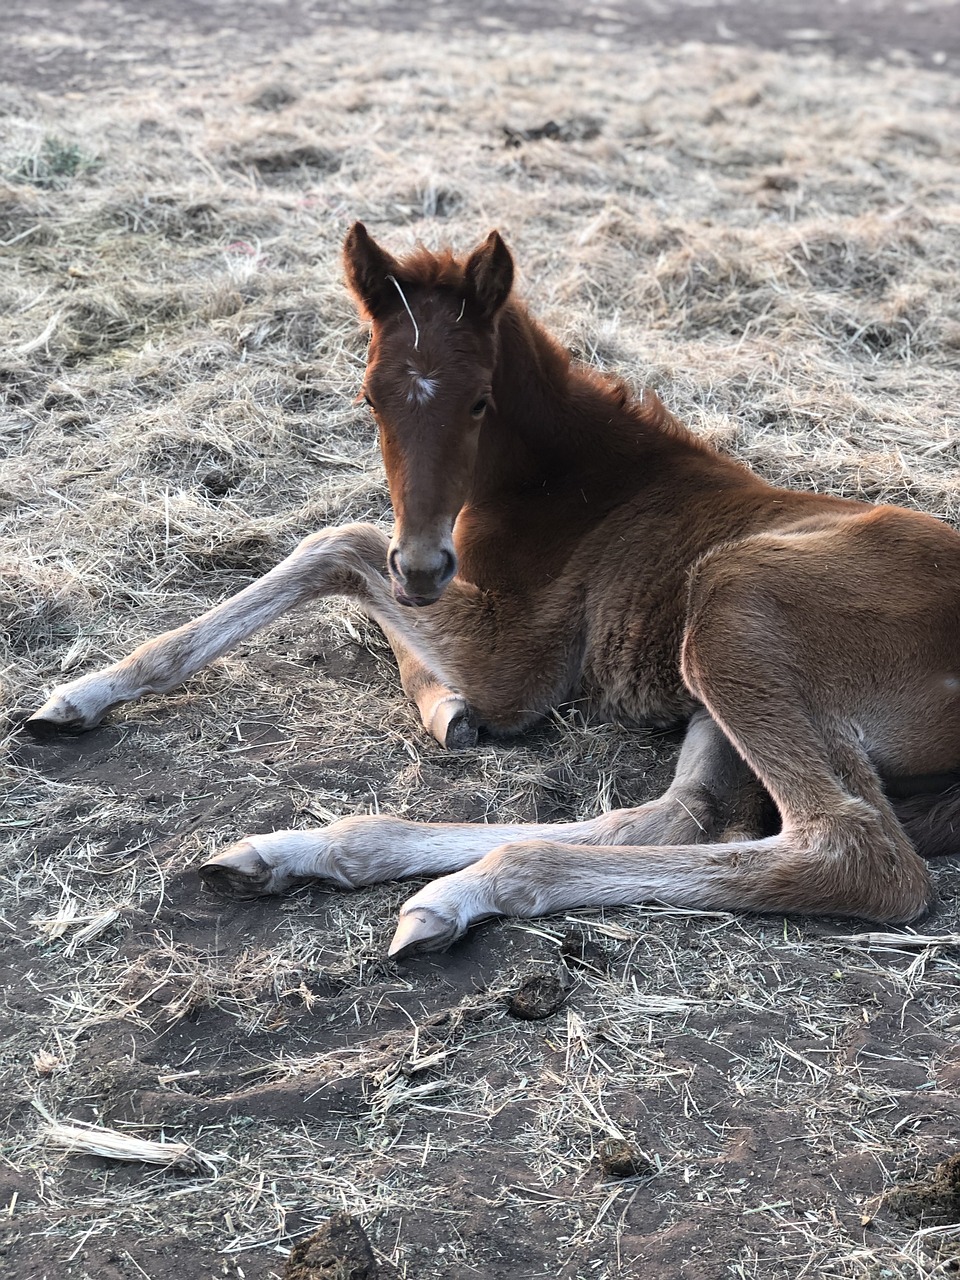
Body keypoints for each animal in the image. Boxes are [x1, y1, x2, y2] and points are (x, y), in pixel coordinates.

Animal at [26, 223, 960, 958]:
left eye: (479, 401)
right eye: (369, 397)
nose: (422, 568)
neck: (575, 482)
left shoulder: (519, 669)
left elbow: (338, 544)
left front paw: (84, 690)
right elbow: (356, 558)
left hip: (730, 602)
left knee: (859, 856)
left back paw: (464, 888)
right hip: (716, 683)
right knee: (676, 815)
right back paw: (312, 853)